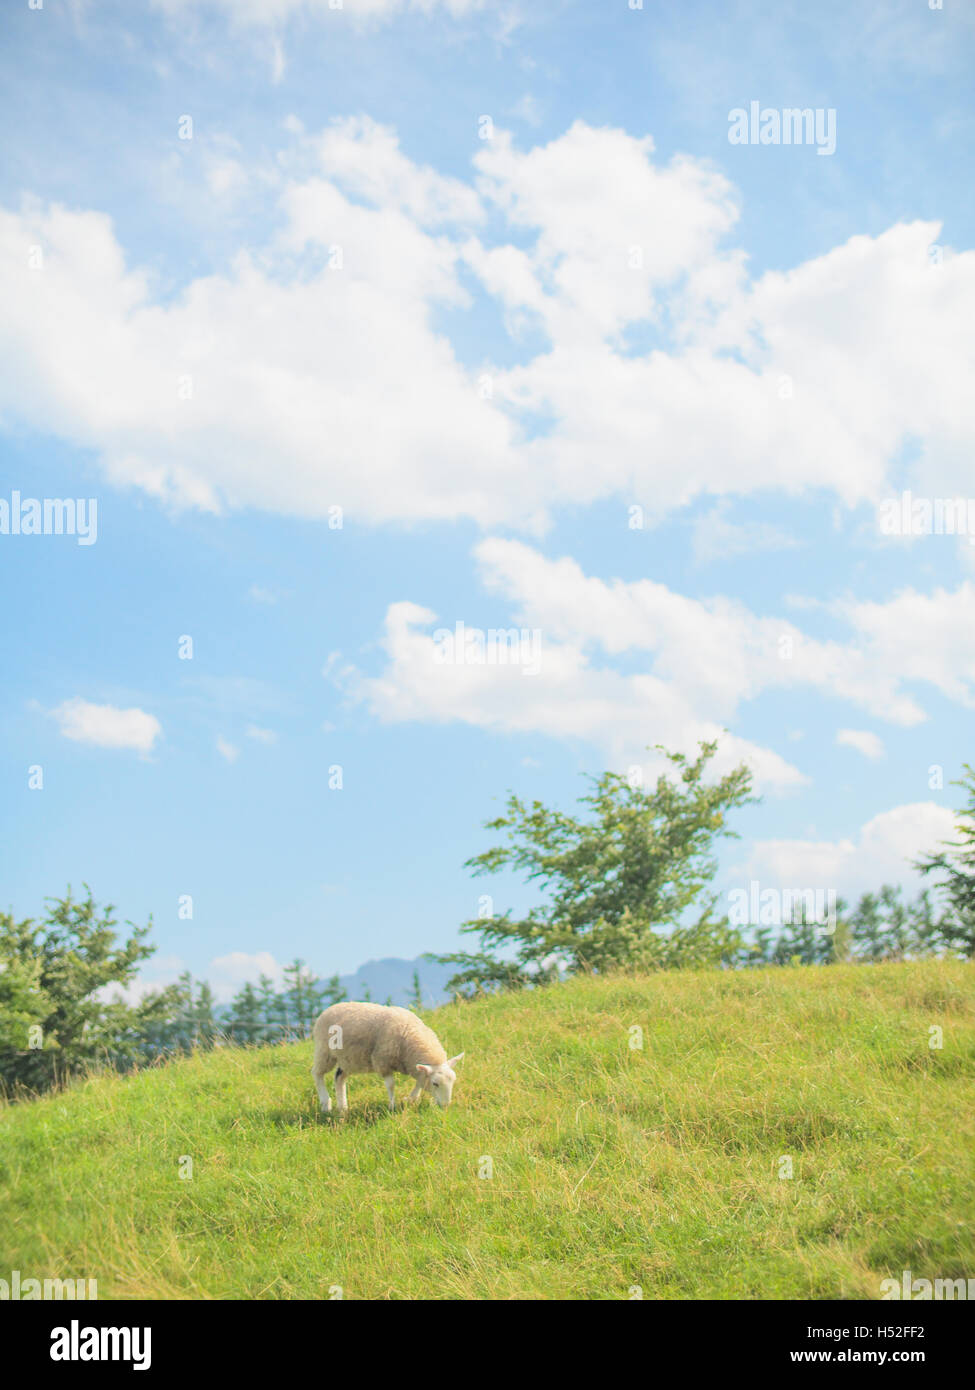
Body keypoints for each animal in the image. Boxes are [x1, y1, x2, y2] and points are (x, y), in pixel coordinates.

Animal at [311, 1001, 464, 1115]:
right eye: (435, 1083)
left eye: (453, 1082)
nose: (445, 1106)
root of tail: (328, 1009)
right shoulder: (383, 1062)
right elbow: (391, 1085)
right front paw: (392, 1106)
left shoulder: (415, 1067)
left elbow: (419, 1083)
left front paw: (410, 1099)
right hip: (324, 1051)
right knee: (317, 1073)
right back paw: (326, 1104)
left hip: (349, 1059)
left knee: (339, 1078)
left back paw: (343, 1107)